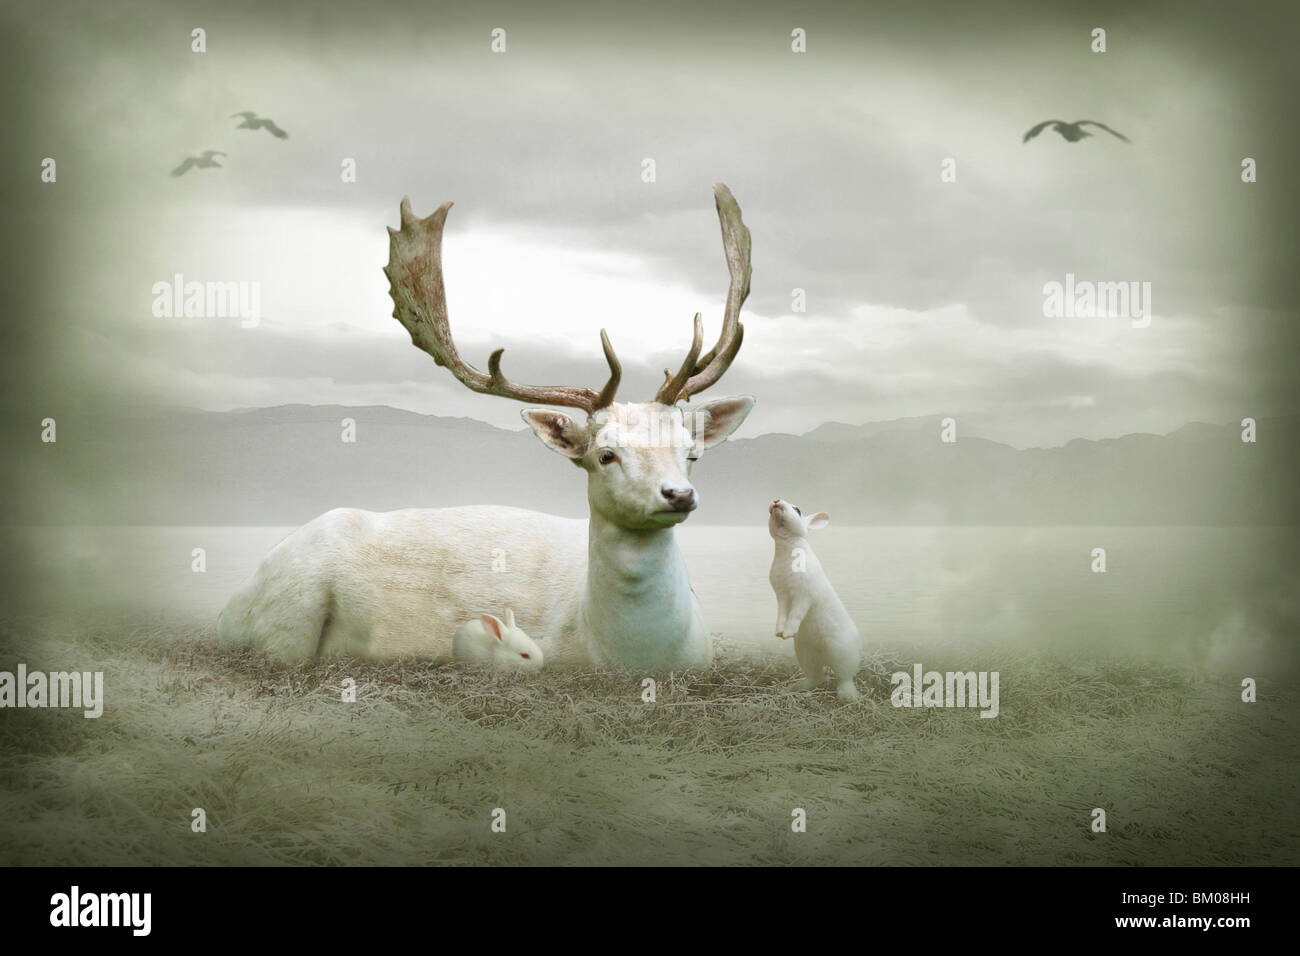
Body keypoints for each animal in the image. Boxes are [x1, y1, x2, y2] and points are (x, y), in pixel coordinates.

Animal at [216, 184, 756, 670]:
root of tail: (228, 605)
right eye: (605, 454)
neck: (634, 655)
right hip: (288, 609)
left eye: (690, 451)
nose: (678, 494)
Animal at [768, 499, 862, 701]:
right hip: (805, 654)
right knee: (817, 677)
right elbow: (781, 615)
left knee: (844, 677)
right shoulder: (782, 596)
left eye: (797, 510)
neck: (788, 545)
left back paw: (848, 696)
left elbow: (795, 615)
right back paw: (794, 688)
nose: (776, 501)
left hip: (842, 655)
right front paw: (779, 633)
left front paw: (788, 633)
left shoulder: (803, 596)